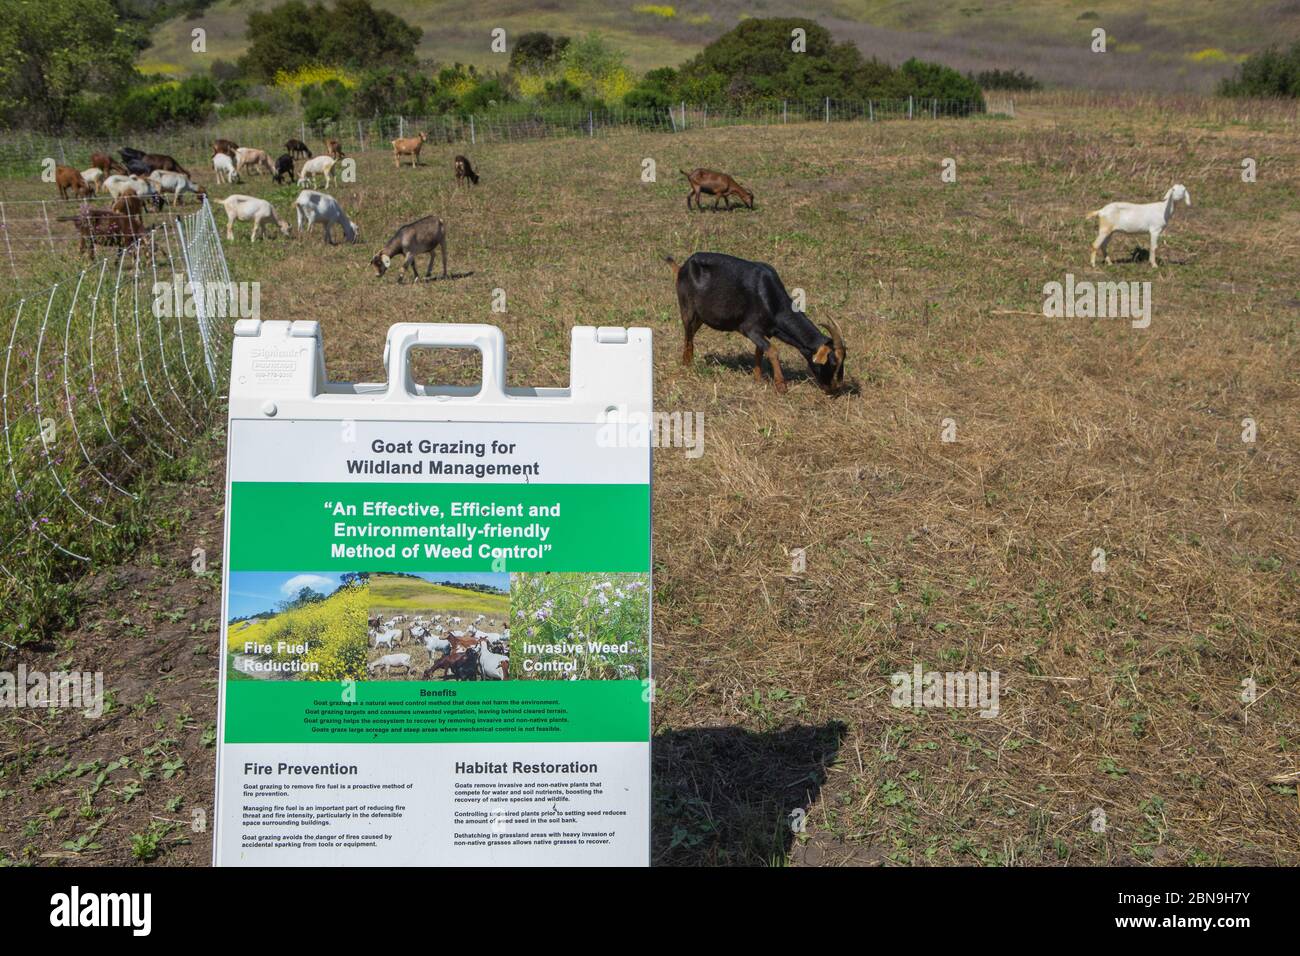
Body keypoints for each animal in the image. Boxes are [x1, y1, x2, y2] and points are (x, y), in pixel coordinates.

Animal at [667, 252, 846, 395]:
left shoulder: (764, 331)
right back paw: (687, 364)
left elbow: (759, 351)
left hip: (701, 317)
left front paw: (758, 378)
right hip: (687, 309)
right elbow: (772, 350)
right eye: (832, 362)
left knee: (691, 333)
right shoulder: (750, 329)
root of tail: (683, 267)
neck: (770, 298)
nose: (835, 388)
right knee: (688, 335)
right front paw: (781, 386)